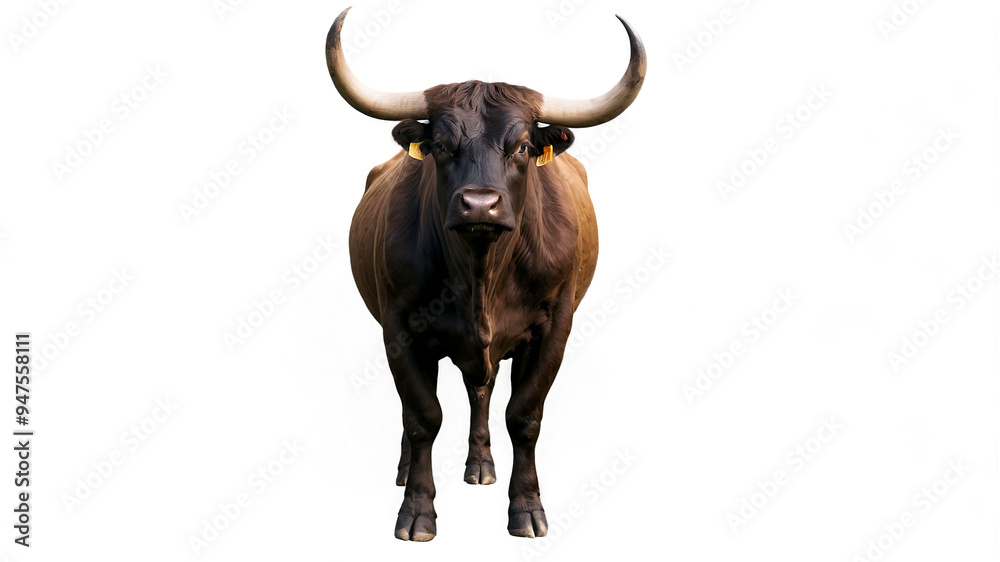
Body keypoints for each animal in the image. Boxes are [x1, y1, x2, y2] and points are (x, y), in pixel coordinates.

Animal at [325, 7, 646, 541]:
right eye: (439, 143)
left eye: (522, 145)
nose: (480, 204)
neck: (481, 271)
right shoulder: (398, 328)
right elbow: (422, 416)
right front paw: (417, 512)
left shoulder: (554, 328)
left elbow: (525, 416)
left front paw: (527, 509)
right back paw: (407, 469)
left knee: (482, 389)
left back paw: (481, 465)